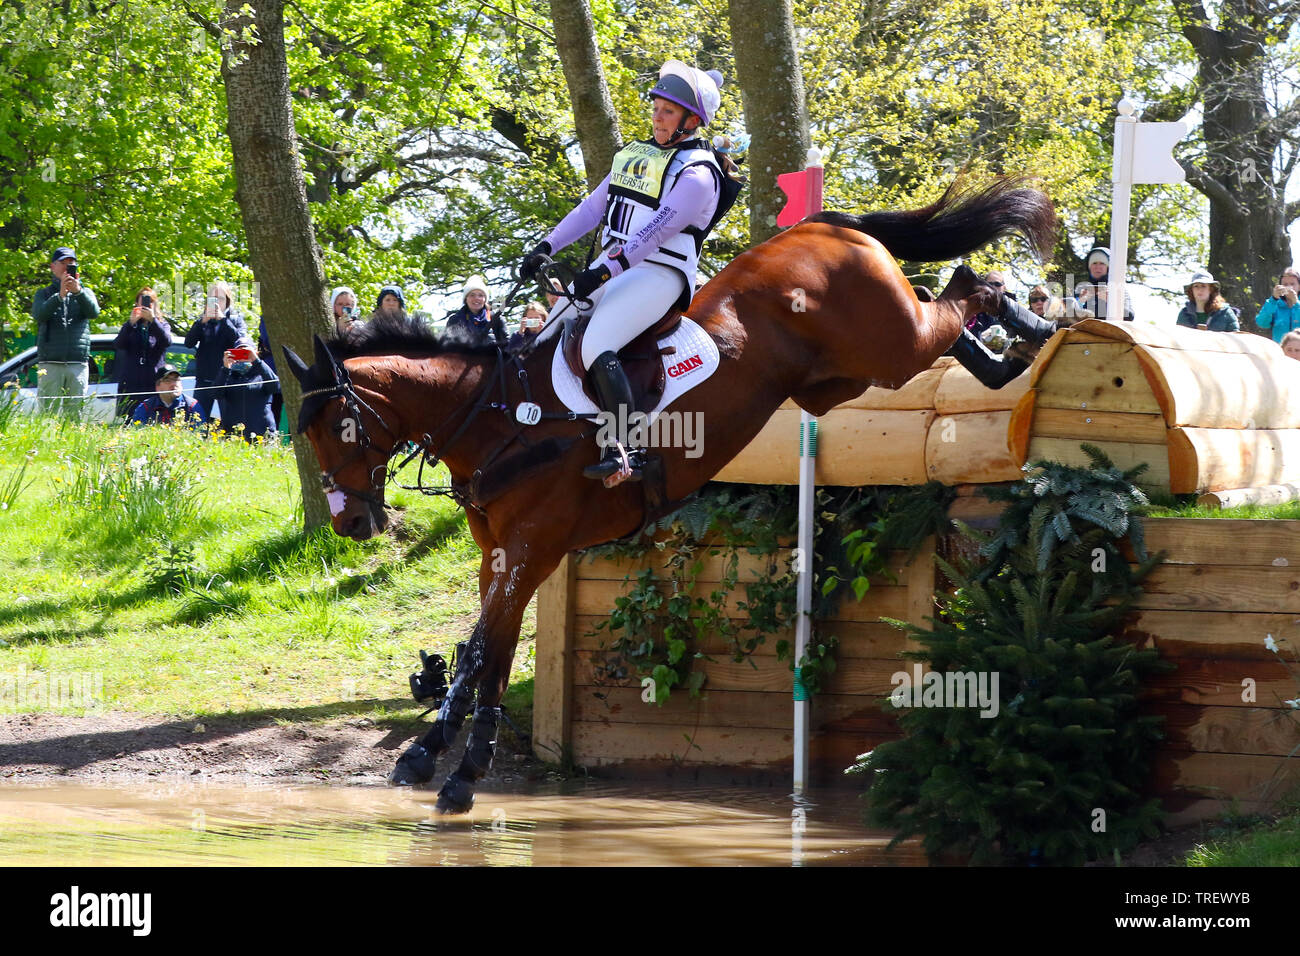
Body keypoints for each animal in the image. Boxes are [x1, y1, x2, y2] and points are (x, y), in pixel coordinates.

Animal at [282, 175, 1057, 813]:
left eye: (341, 427)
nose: (350, 524)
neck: (501, 415)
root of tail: (826, 227)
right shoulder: (498, 553)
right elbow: (485, 654)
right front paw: (438, 758)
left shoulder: (531, 550)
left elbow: (481, 651)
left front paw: (455, 772)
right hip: (845, 375)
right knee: (942, 310)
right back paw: (1006, 357)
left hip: (885, 343)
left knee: (964, 290)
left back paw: (1033, 323)